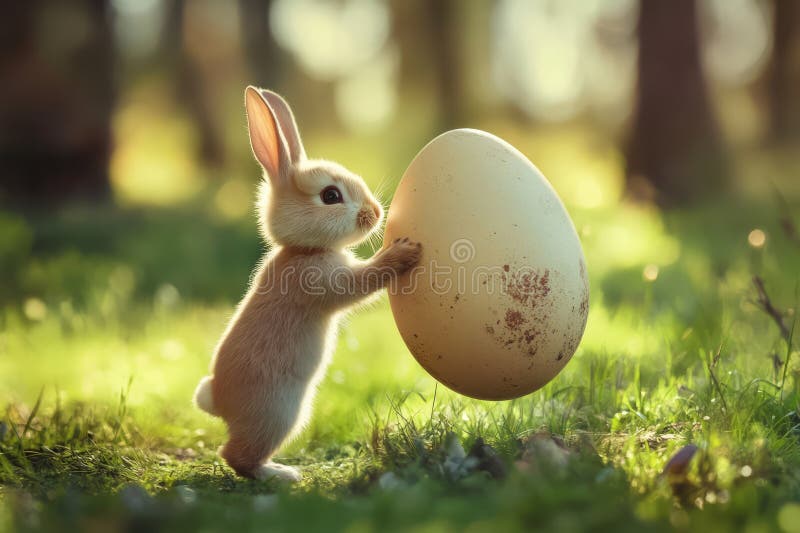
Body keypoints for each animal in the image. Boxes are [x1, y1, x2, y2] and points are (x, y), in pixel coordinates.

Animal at [193, 86, 422, 482]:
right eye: (331, 196)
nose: (376, 213)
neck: (305, 250)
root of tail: (216, 400)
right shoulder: (324, 283)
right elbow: (364, 280)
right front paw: (401, 254)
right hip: (280, 414)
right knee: (235, 455)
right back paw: (281, 474)